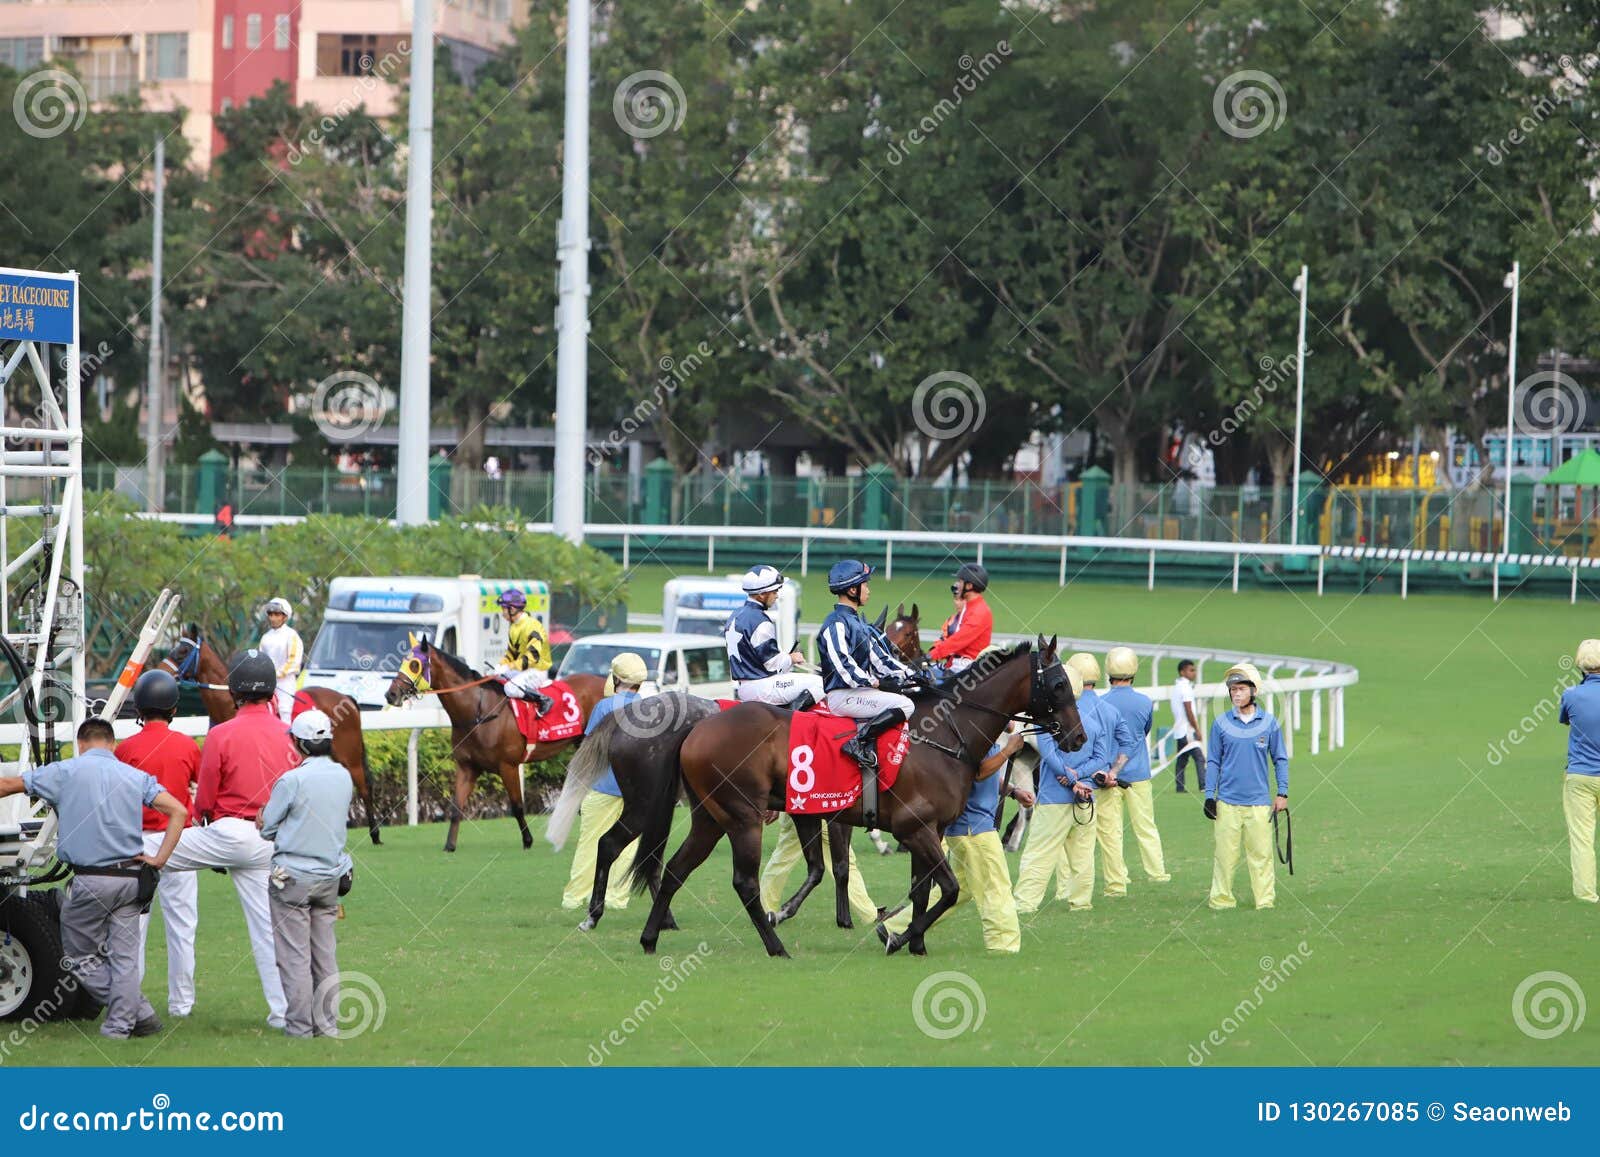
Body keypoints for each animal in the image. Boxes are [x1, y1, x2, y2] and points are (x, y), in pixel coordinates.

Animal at [158, 625, 383, 845]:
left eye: (183, 651)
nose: (160, 672)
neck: (232, 705)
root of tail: (345, 697)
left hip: (350, 756)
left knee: (364, 788)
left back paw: (374, 834)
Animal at [384, 634, 606, 852]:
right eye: (403, 661)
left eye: (414, 664)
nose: (390, 694)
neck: (478, 712)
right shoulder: (467, 767)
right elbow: (456, 807)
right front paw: (449, 845)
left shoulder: (508, 766)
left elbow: (517, 806)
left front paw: (527, 840)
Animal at [550, 693, 863, 933]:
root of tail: (622, 715)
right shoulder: (835, 811)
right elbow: (839, 866)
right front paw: (843, 919)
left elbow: (827, 866)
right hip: (644, 806)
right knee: (610, 844)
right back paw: (594, 916)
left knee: (649, 856)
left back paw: (664, 919)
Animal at [633, 636, 1084, 957]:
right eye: (1059, 684)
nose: (1077, 737)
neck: (943, 733)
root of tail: (700, 725)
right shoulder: (914, 828)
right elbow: (949, 888)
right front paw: (897, 936)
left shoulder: (930, 831)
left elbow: (922, 889)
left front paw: (914, 943)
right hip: (743, 817)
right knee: (744, 882)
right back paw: (775, 946)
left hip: (710, 817)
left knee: (675, 870)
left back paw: (650, 938)